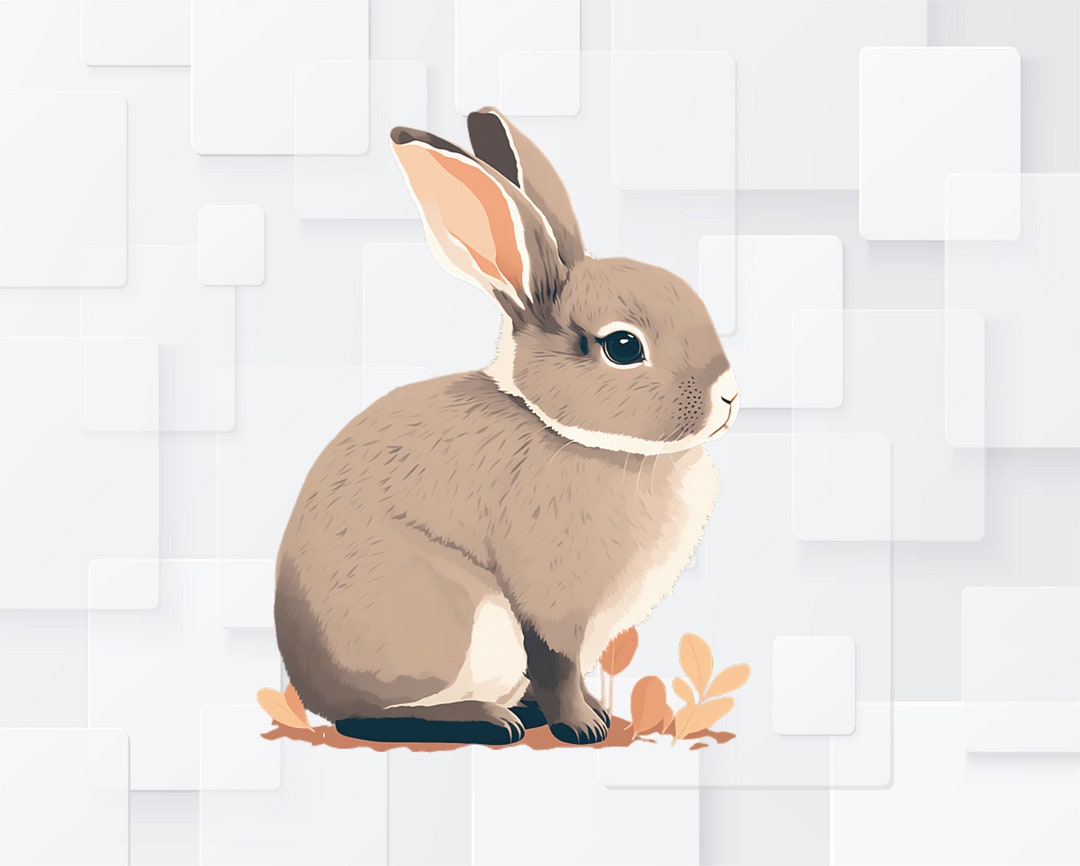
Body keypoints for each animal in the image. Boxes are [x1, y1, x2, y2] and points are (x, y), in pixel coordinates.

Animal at [275, 107, 740, 746]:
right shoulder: (551, 607)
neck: (569, 434)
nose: (730, 395)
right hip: (456, 616)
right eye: (623, 346)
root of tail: (309, 684)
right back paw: (491, 720)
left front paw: (597, 713)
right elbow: (558, 669)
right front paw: (583, 728)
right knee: (373, 715)